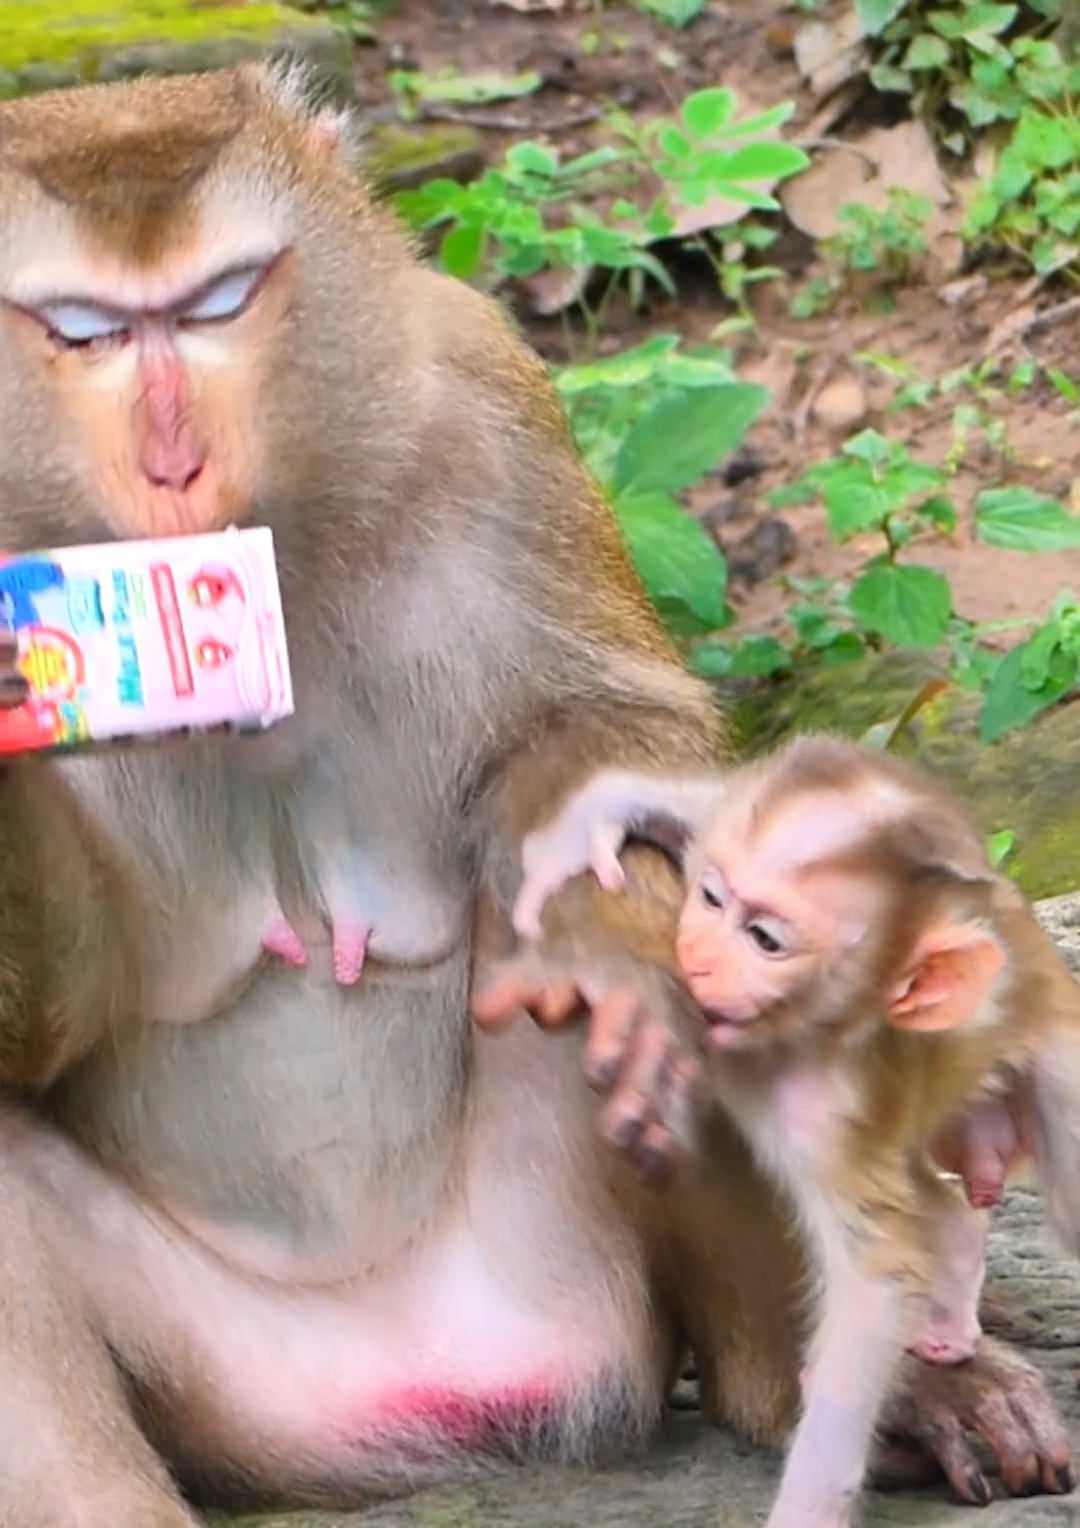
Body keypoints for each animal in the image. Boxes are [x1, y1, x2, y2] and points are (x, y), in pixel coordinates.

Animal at [488, 731, 1080, 1527]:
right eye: (711, 897)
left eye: (765, 939)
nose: (700, 960)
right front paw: (587, 827)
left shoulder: (825, 1110)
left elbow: (872, 1286)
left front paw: (807, 1502)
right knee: (937, 1200)